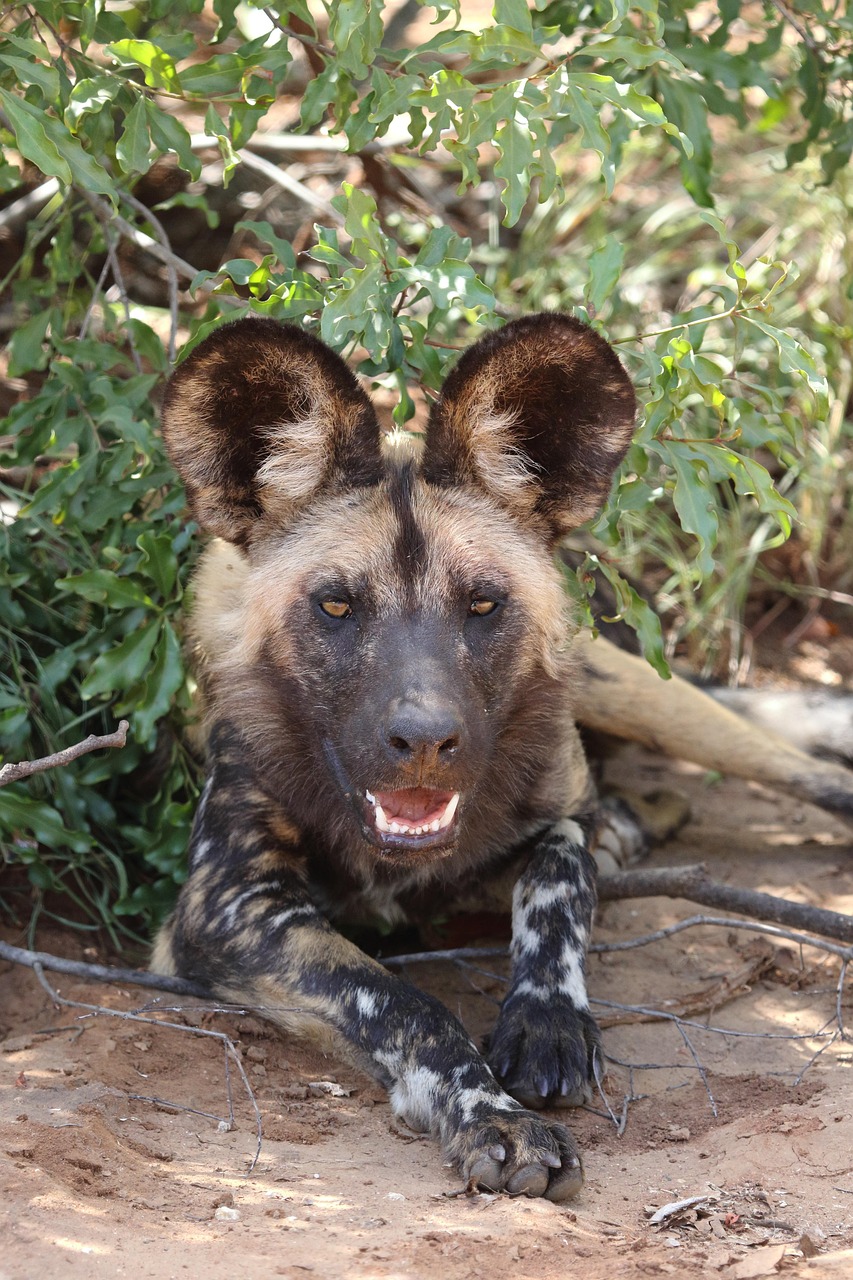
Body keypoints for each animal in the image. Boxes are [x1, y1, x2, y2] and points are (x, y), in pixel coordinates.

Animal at [151, 313, 853, 1201]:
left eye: (483, 604)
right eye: (336, 606)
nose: (423, 741)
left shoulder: (555, 813)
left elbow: (559, 872)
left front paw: (548, 1020)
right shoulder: (225, 912)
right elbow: (404, 1005)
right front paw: (490, 1114)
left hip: (640, 696)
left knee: (803, 776)